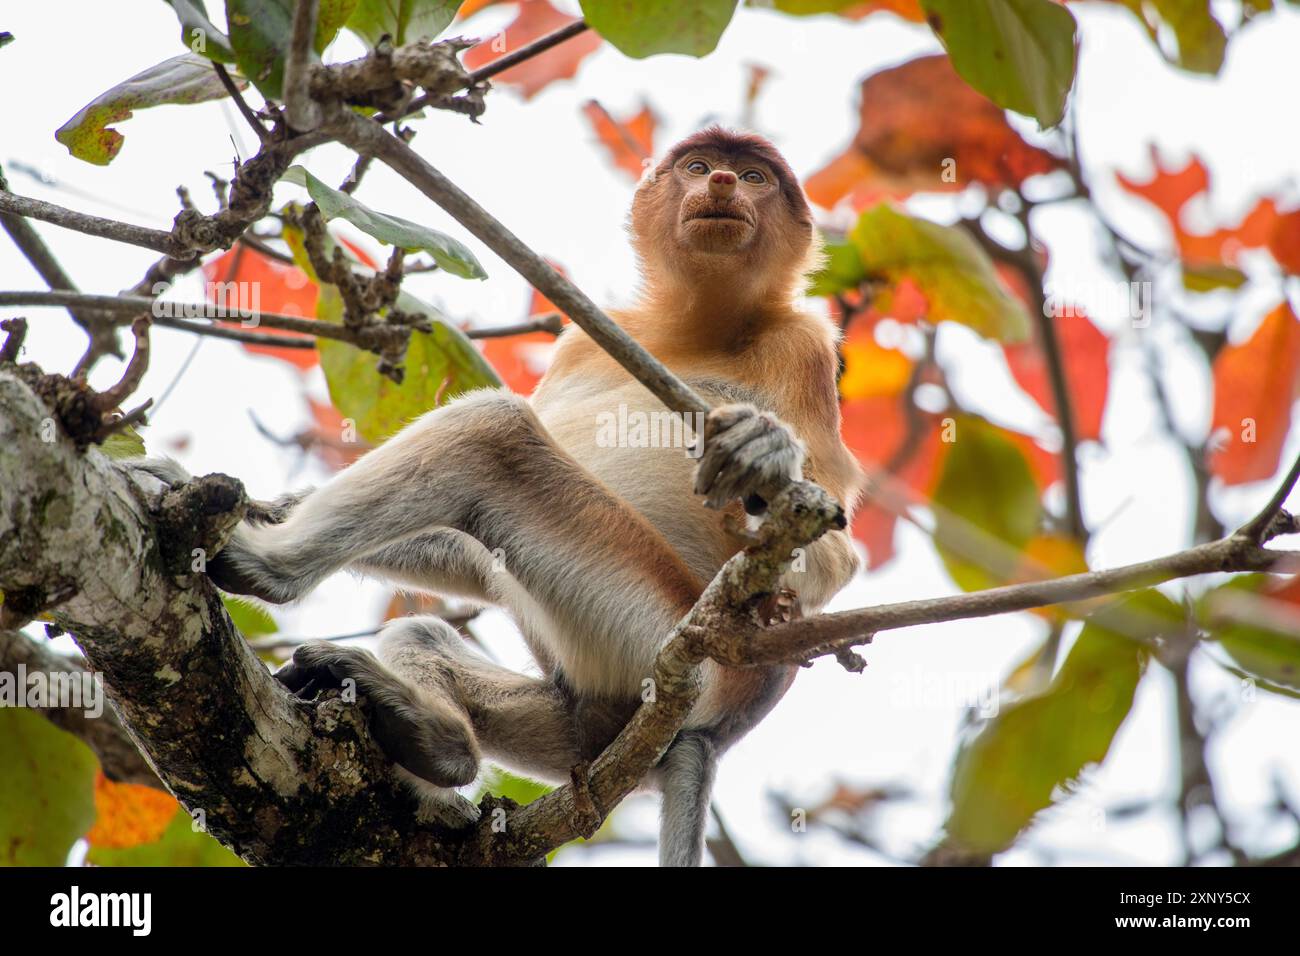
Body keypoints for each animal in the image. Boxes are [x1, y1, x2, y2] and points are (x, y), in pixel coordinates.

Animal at [129, 127, 865, 866]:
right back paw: (430, 735)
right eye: (698, 165)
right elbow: (476, 561)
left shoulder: (805, 347)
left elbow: (831, 550)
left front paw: (764, 448)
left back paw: (266, 574)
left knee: (494, 431)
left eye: (754, 176)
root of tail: (712, 726)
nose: (722, 183)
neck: (698, 326)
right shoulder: (581, 342)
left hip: (644, 618)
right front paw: (245, 499)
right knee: (428, 628)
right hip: (584, 707)